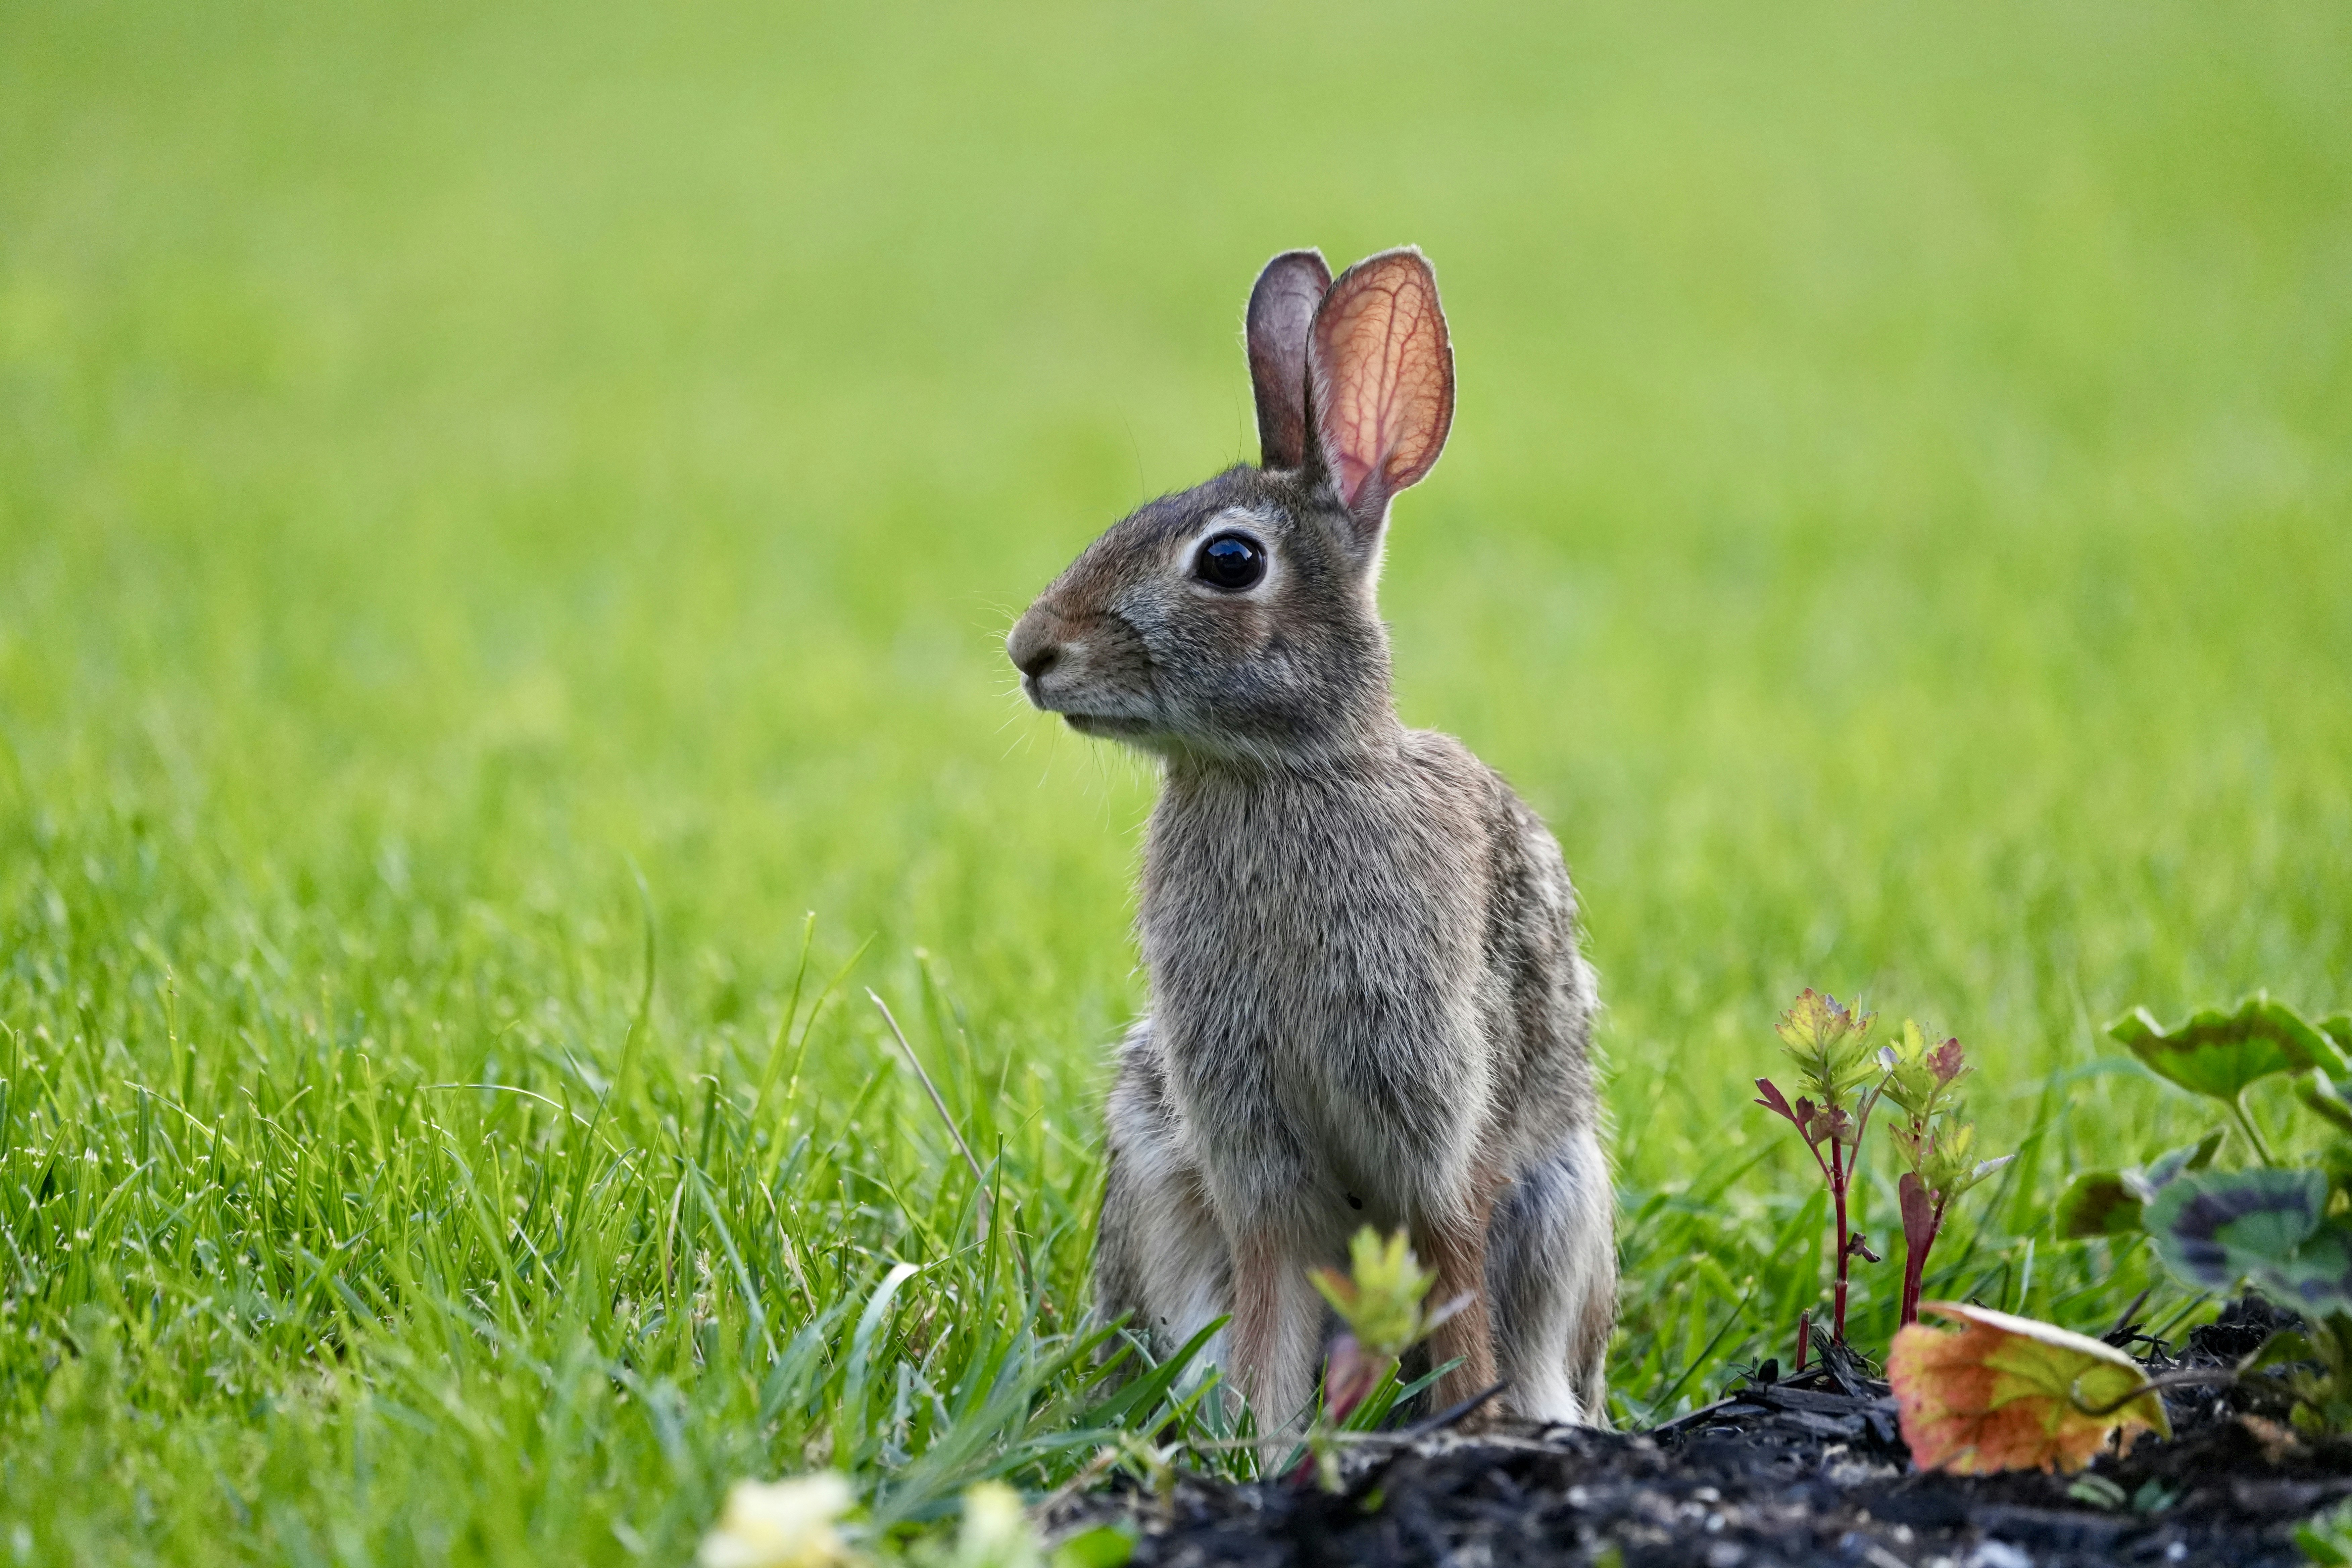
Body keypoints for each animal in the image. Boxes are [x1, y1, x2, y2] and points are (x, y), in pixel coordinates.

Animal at [1005, 247, 1615, 1448]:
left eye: (1230, 561)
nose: (1031, 652)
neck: (1277, 774)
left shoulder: (1440, 1118)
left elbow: (1453, 1267)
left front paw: (1460, 1436)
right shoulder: (1248, 1150)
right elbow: (1269, 1300)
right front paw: (1262, 1445)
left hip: (1563, 1200)